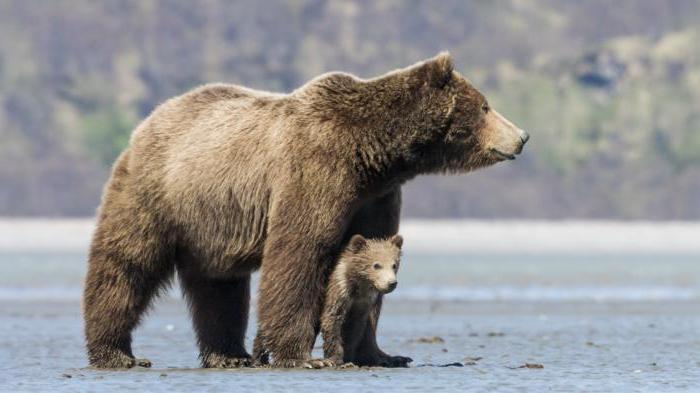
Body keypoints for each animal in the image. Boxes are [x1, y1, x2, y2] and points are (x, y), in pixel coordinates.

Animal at [83, 51, 524, 368]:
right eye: (485, 106)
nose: (521, 136)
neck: (373, 154)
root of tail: (150, 120)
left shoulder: (376, 195)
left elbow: (371, 252)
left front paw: (382, 353)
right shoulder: (315, 171)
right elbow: (300, 252)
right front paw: (301, 355)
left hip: (212, 222)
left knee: (220, 286)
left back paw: (229, 355)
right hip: (157, 194)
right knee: (126, 264)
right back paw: (116, 353)